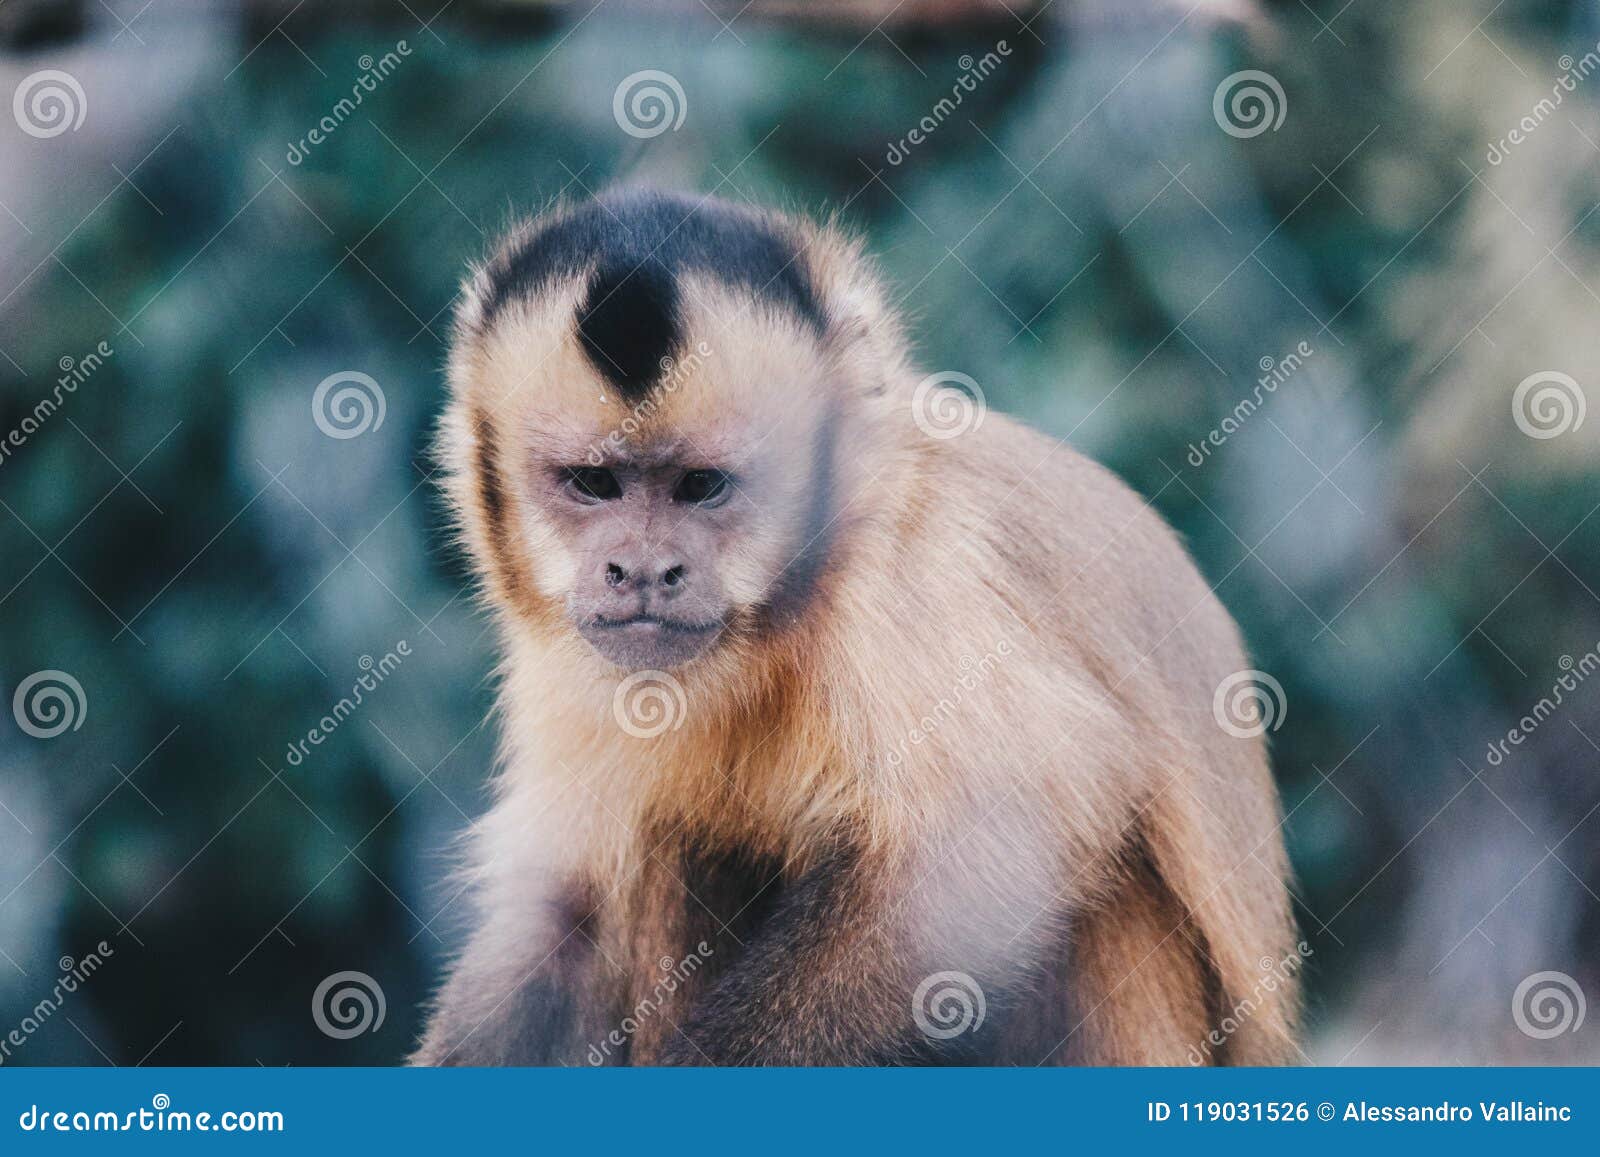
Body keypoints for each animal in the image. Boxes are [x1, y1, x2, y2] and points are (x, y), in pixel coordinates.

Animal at [411, 188, 1300, 1066]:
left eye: (702, 485)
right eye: (594, 483)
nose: (643, 569)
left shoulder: (912, 572)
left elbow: (990, 844)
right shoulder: (562, 647)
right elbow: (567, 908)